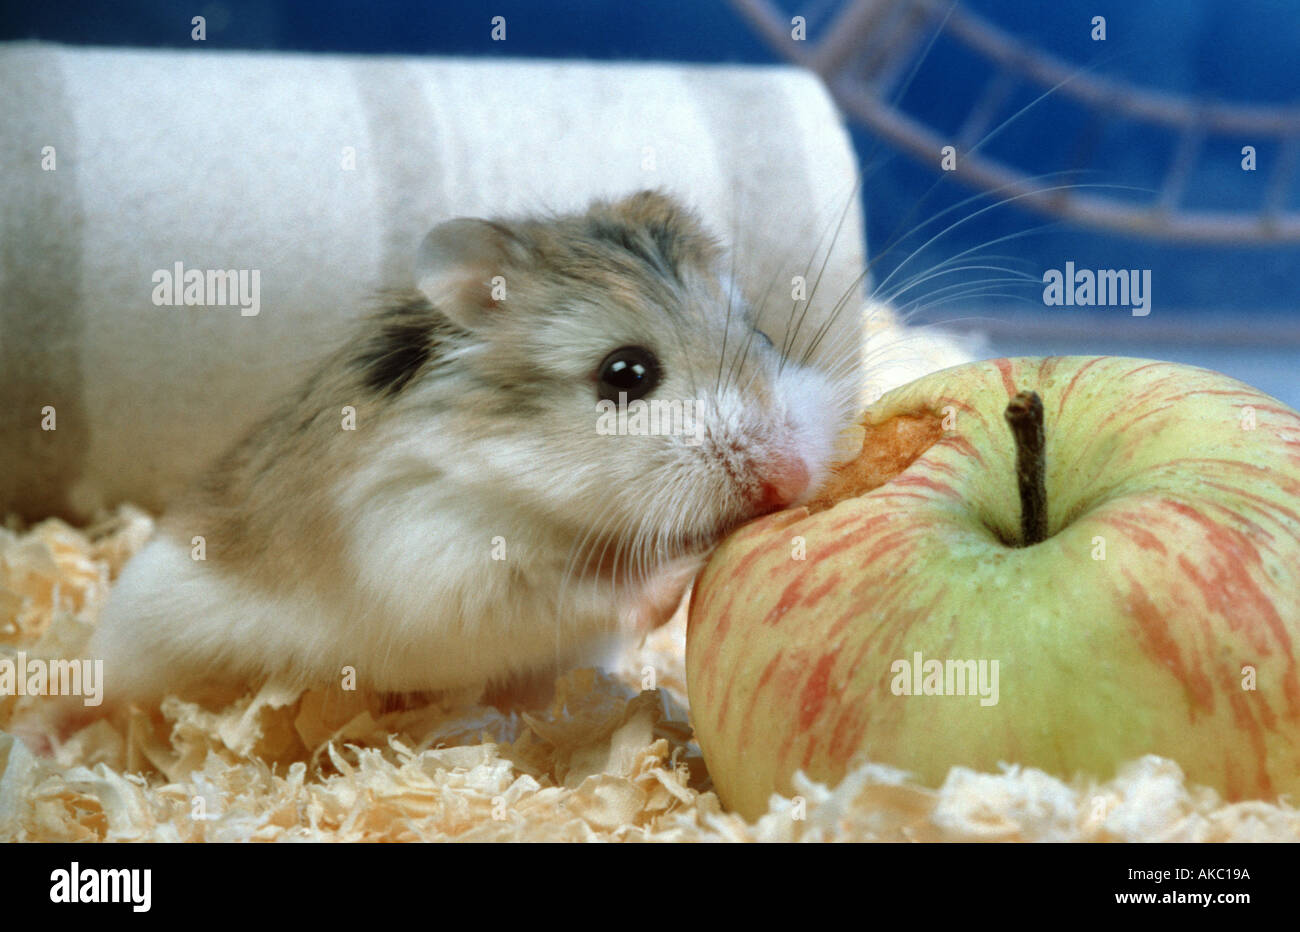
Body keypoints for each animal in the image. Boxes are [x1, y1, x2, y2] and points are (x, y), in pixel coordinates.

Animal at [79, 189, 860, 712]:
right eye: (625, 374)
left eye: (761, 336)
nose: (792, 477)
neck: (518, 488)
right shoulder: (447, 562)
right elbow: (582, 593)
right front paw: (683, 569)